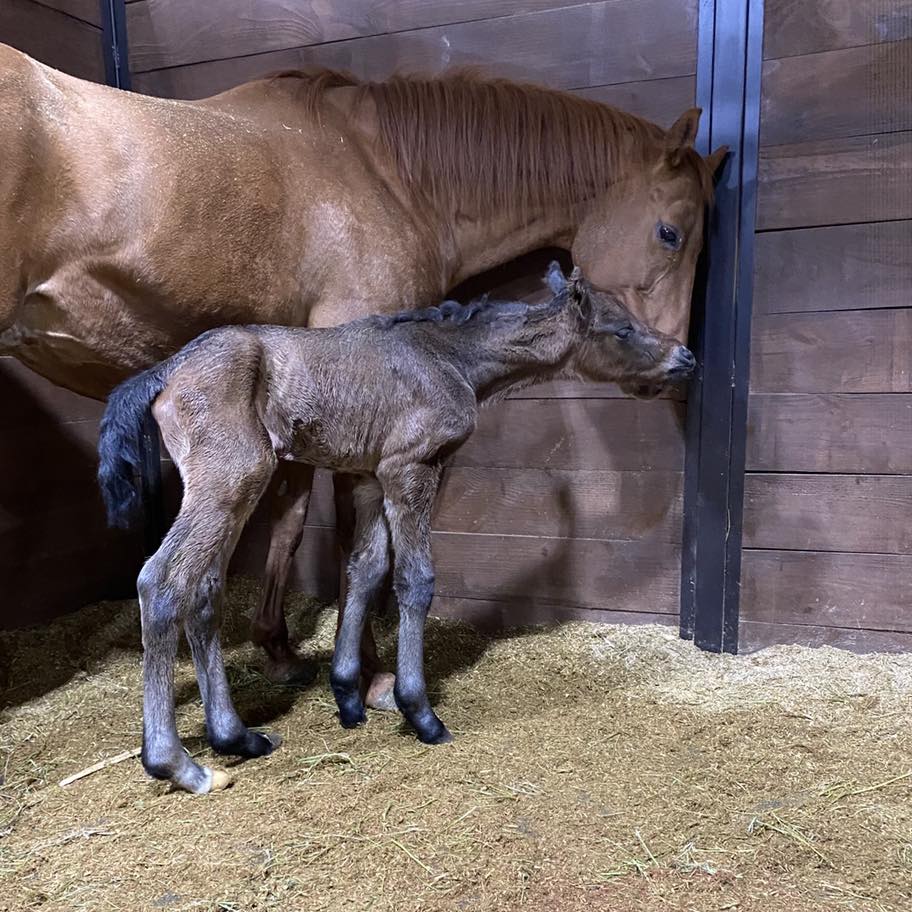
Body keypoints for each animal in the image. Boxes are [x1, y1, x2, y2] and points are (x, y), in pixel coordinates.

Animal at [0, 44, 725, 698]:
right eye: (670, 233)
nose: (677, 360)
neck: (385, 174)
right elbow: (360, 542)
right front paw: (368, 667)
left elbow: (292, 522)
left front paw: (280, 648)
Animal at [96, 263, 695, 794]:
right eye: (622, 328)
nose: (685, 356)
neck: (449, 358)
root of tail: (165, 371)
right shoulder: (413, 467)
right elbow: (414, 580)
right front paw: (419, 710)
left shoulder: (370, 476)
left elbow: (364, 568)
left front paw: (348, 695)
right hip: (233, 476)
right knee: (161, 581)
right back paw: (179, 765)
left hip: (230, 488)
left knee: (204, 591)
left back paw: (238, 737)